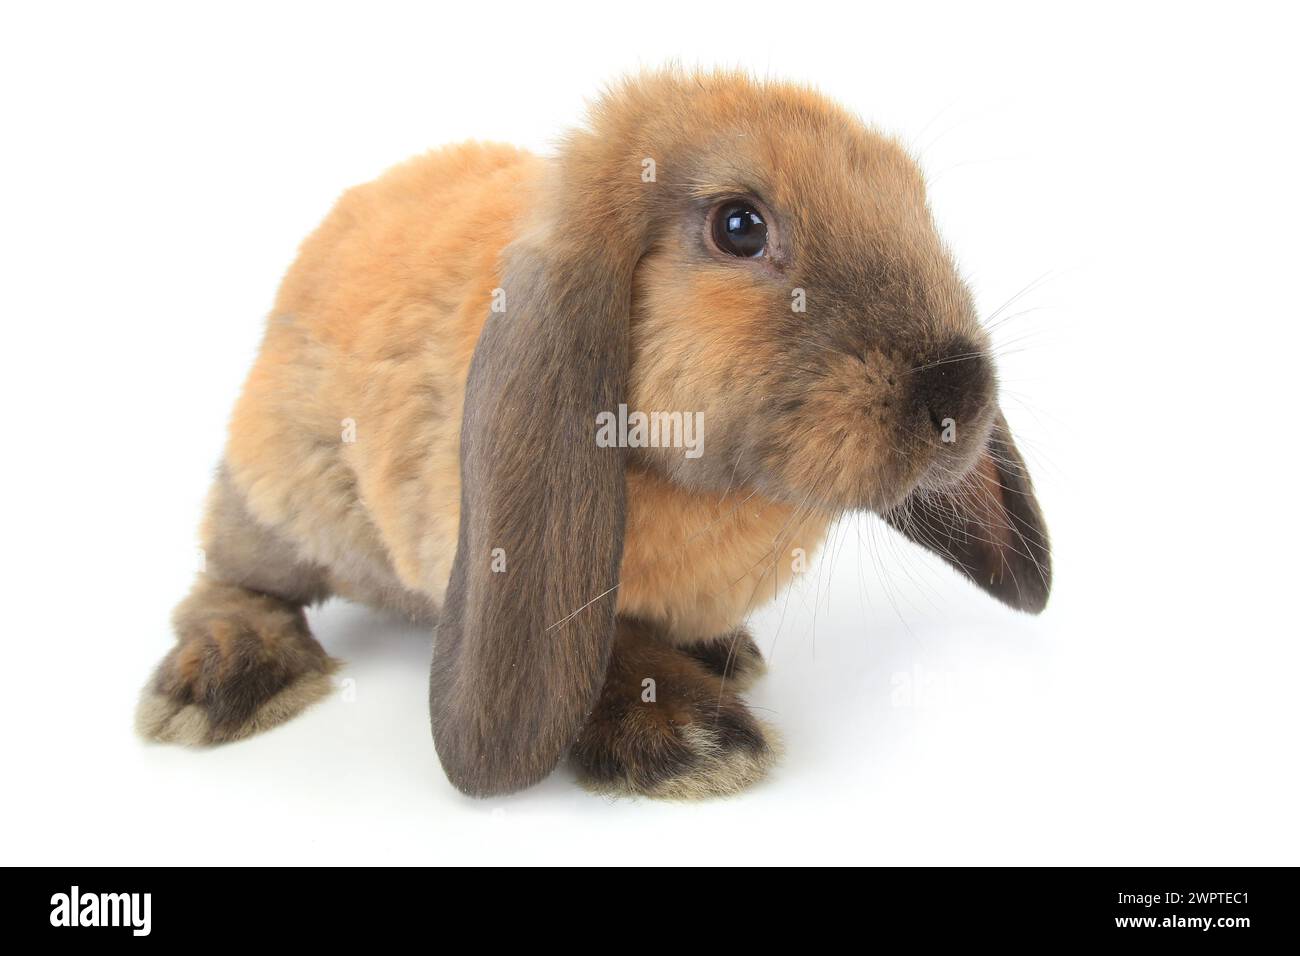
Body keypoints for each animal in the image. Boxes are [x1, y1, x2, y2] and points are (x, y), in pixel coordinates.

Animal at [136, 68, 1050, 799]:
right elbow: (602, 649)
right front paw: (691, 739)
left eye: (916, 201)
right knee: (232, 581)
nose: (959, 394)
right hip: (284, 499)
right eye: (740, 227)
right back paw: (220, 683)